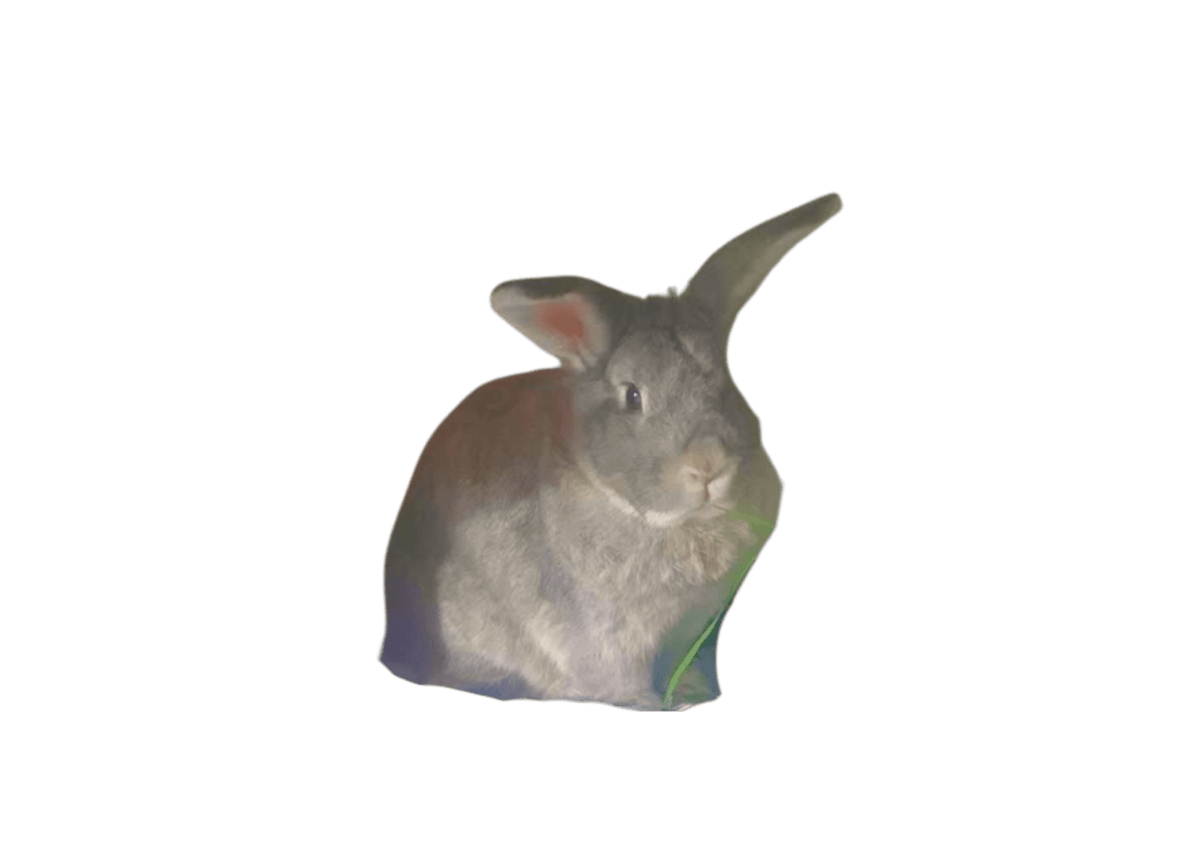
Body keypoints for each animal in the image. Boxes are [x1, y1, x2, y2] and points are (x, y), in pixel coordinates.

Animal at [378, 190, 845, 711]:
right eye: (633, 396)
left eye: (724, 382)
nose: (707, 466)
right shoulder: (603, 628)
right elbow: (619, 676)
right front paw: (654, 705)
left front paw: (697, 694)